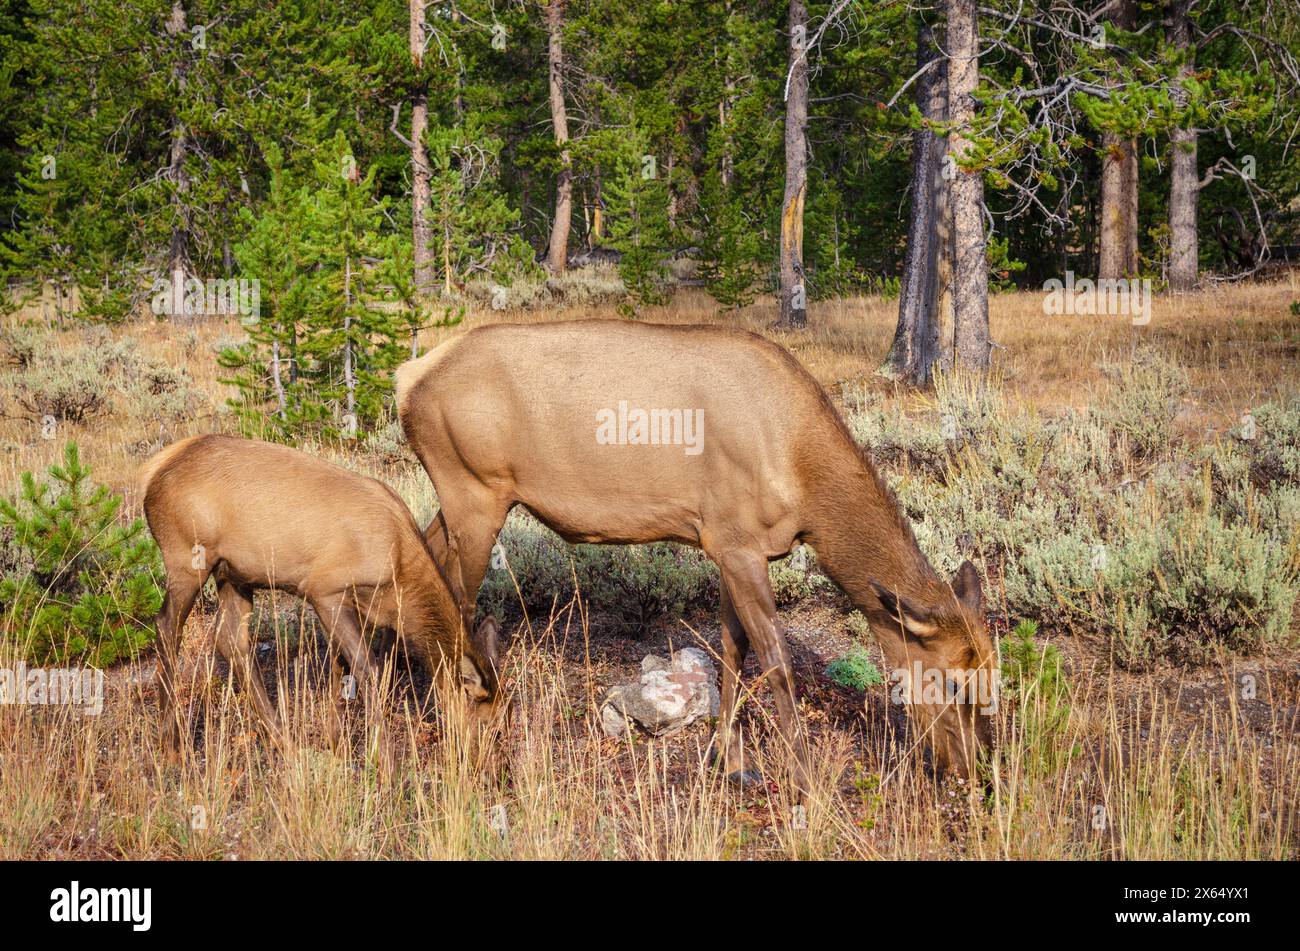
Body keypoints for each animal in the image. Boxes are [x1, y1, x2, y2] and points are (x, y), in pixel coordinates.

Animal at [139, 434, 500, 756]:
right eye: (486, 723)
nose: (489, 770)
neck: (398, 579)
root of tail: (152, 473)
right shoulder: (324, 589)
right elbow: (367, 669)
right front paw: (382, 762)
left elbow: (338, 668)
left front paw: (336, 742)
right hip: (186, 555)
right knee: (166, 627)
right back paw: (171, 746)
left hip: (234, 574)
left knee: (230, 639)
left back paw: (284, 740)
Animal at [395, 319, 998, 794]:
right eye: (950, 681)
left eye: (992, 675)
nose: (974, 770)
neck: (804, 480)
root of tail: (406, 380)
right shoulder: (737, 541)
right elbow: (776, 662)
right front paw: (804, 781)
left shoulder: (732, 546)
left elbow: (733, 649)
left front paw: (730, 763)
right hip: (474, 489)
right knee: (457, 605)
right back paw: (455, 728)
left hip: (462, 498)